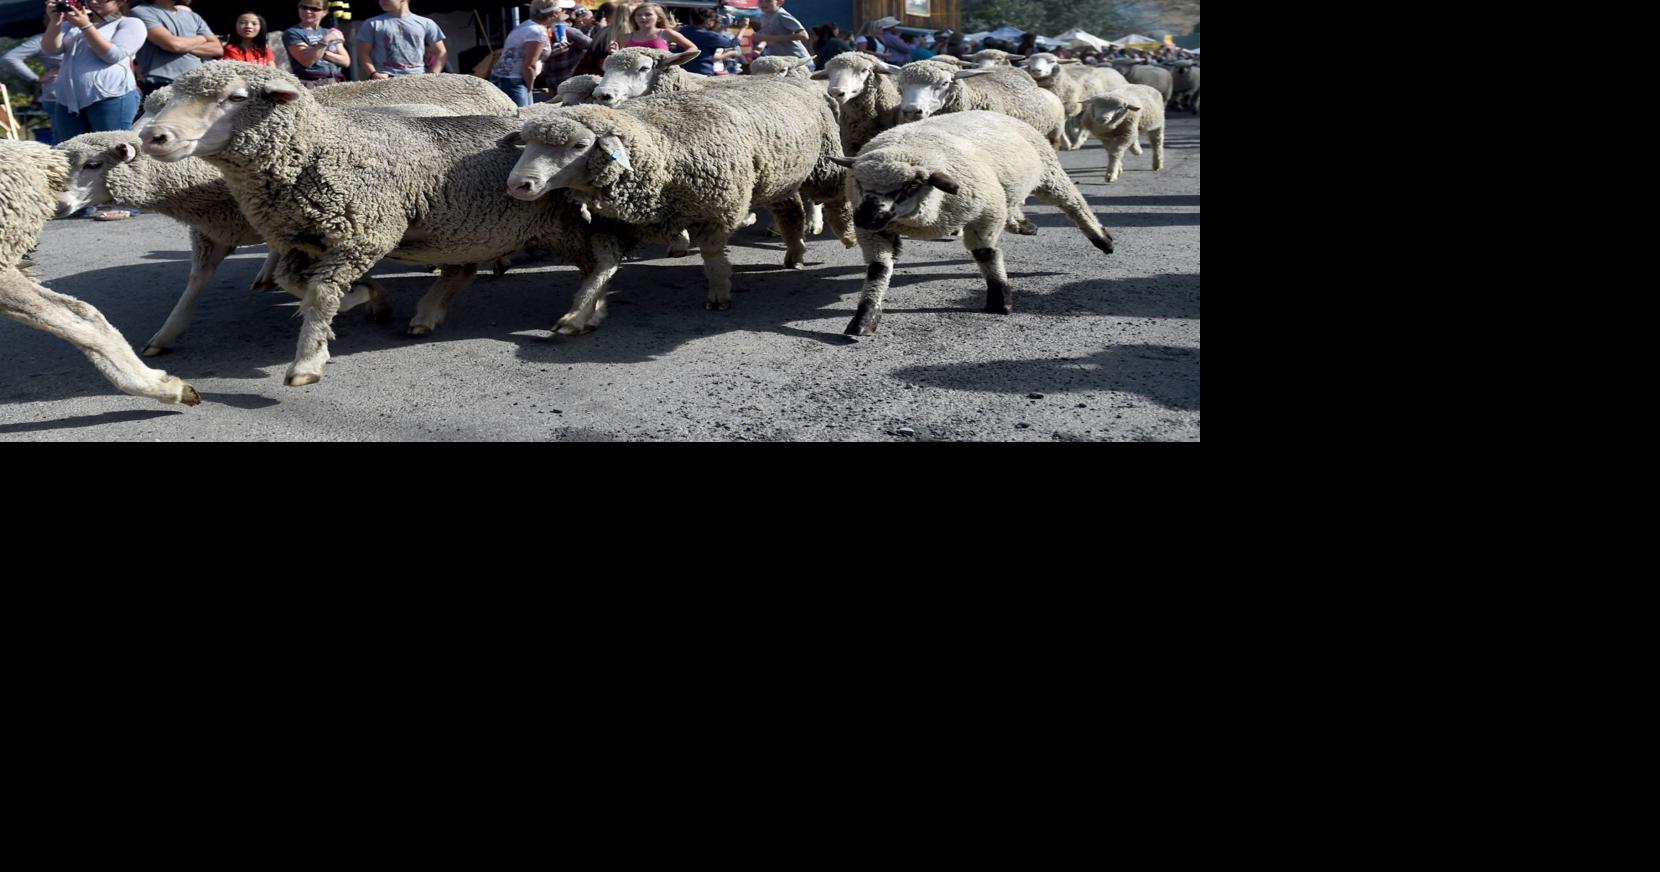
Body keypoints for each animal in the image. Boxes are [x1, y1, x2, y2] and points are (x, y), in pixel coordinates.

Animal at [138, 62, 639, 386]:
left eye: (236, 97)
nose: (152, 136)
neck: (324, 149)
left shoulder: (364, 236)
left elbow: (320, 294)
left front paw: (308, 361)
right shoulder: (304, 240)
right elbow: (290, 281)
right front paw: (363, 298)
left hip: (559, 223)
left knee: (604, 255)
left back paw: (584, 313)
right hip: (467, 227)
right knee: (466, 268)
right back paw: (430, 313)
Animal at [504, 78, 854, 329]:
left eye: (580, 145)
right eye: (528, 143)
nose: (519, 184)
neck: (662, 148)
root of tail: (797, 81)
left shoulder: (721, 208)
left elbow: (712, 255)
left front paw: (719, 294)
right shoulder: (616, 225)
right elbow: (603, 268)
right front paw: (576, 315)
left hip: (824, 165)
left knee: (836, 198)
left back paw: (846, 235)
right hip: (780, 175)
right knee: (790, 210)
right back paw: (795, 251)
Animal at [830, 111, 1115, 336]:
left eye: (910, 186)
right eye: (858, 183)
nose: (864, 218)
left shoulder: (986, 213)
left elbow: (985, 253)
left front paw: (1000, 300)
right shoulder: (876, 232)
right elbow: (878, 269)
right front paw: (864, 318)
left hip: (1048, 172)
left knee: (1073, 204)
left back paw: (1103, 240)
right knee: (1015, 203)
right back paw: (1023, 224)